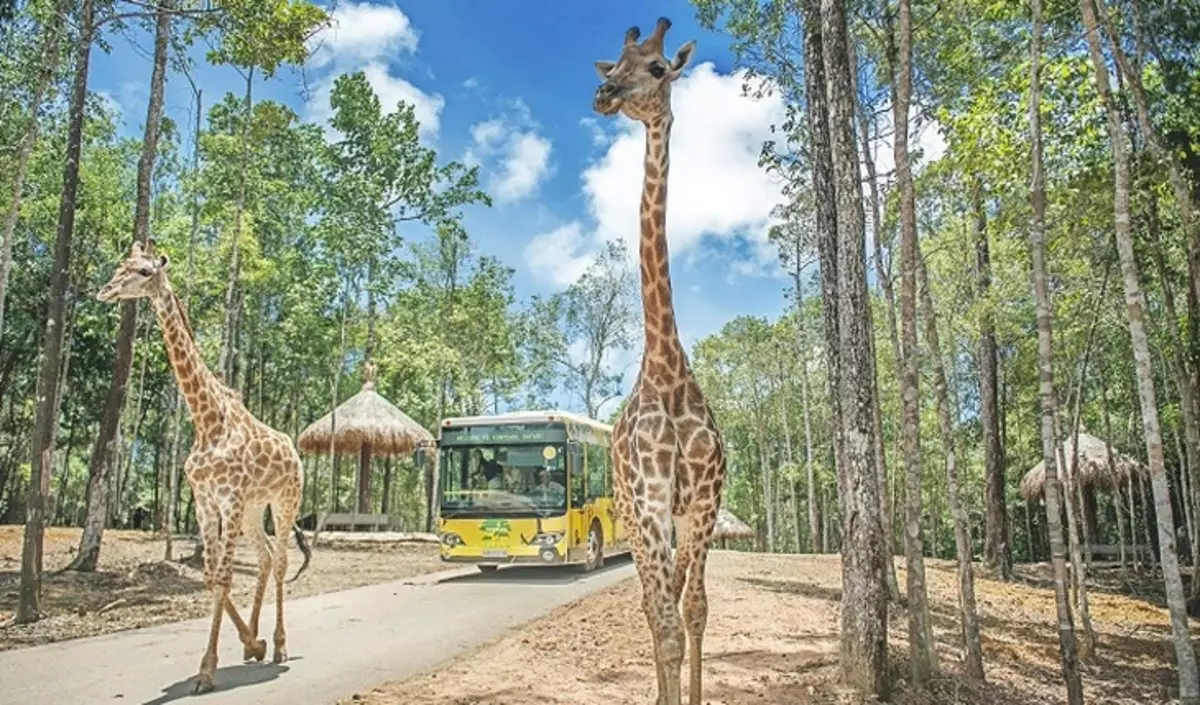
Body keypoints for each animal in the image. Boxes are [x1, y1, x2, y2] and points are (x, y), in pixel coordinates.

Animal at [96, 239, 312, 690]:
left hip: (285, 501)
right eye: (122, 264)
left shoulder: (228, 500)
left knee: (281, 561)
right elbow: (213, 576)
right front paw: (249, 643)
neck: (207, 420)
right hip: (253, 509)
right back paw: (259, 643)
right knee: (266, 558)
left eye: (145, 271)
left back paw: (281, 646)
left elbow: (224, 577)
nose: (105, 290)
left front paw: (208, 670)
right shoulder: (206, 501)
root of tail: (295, 451)